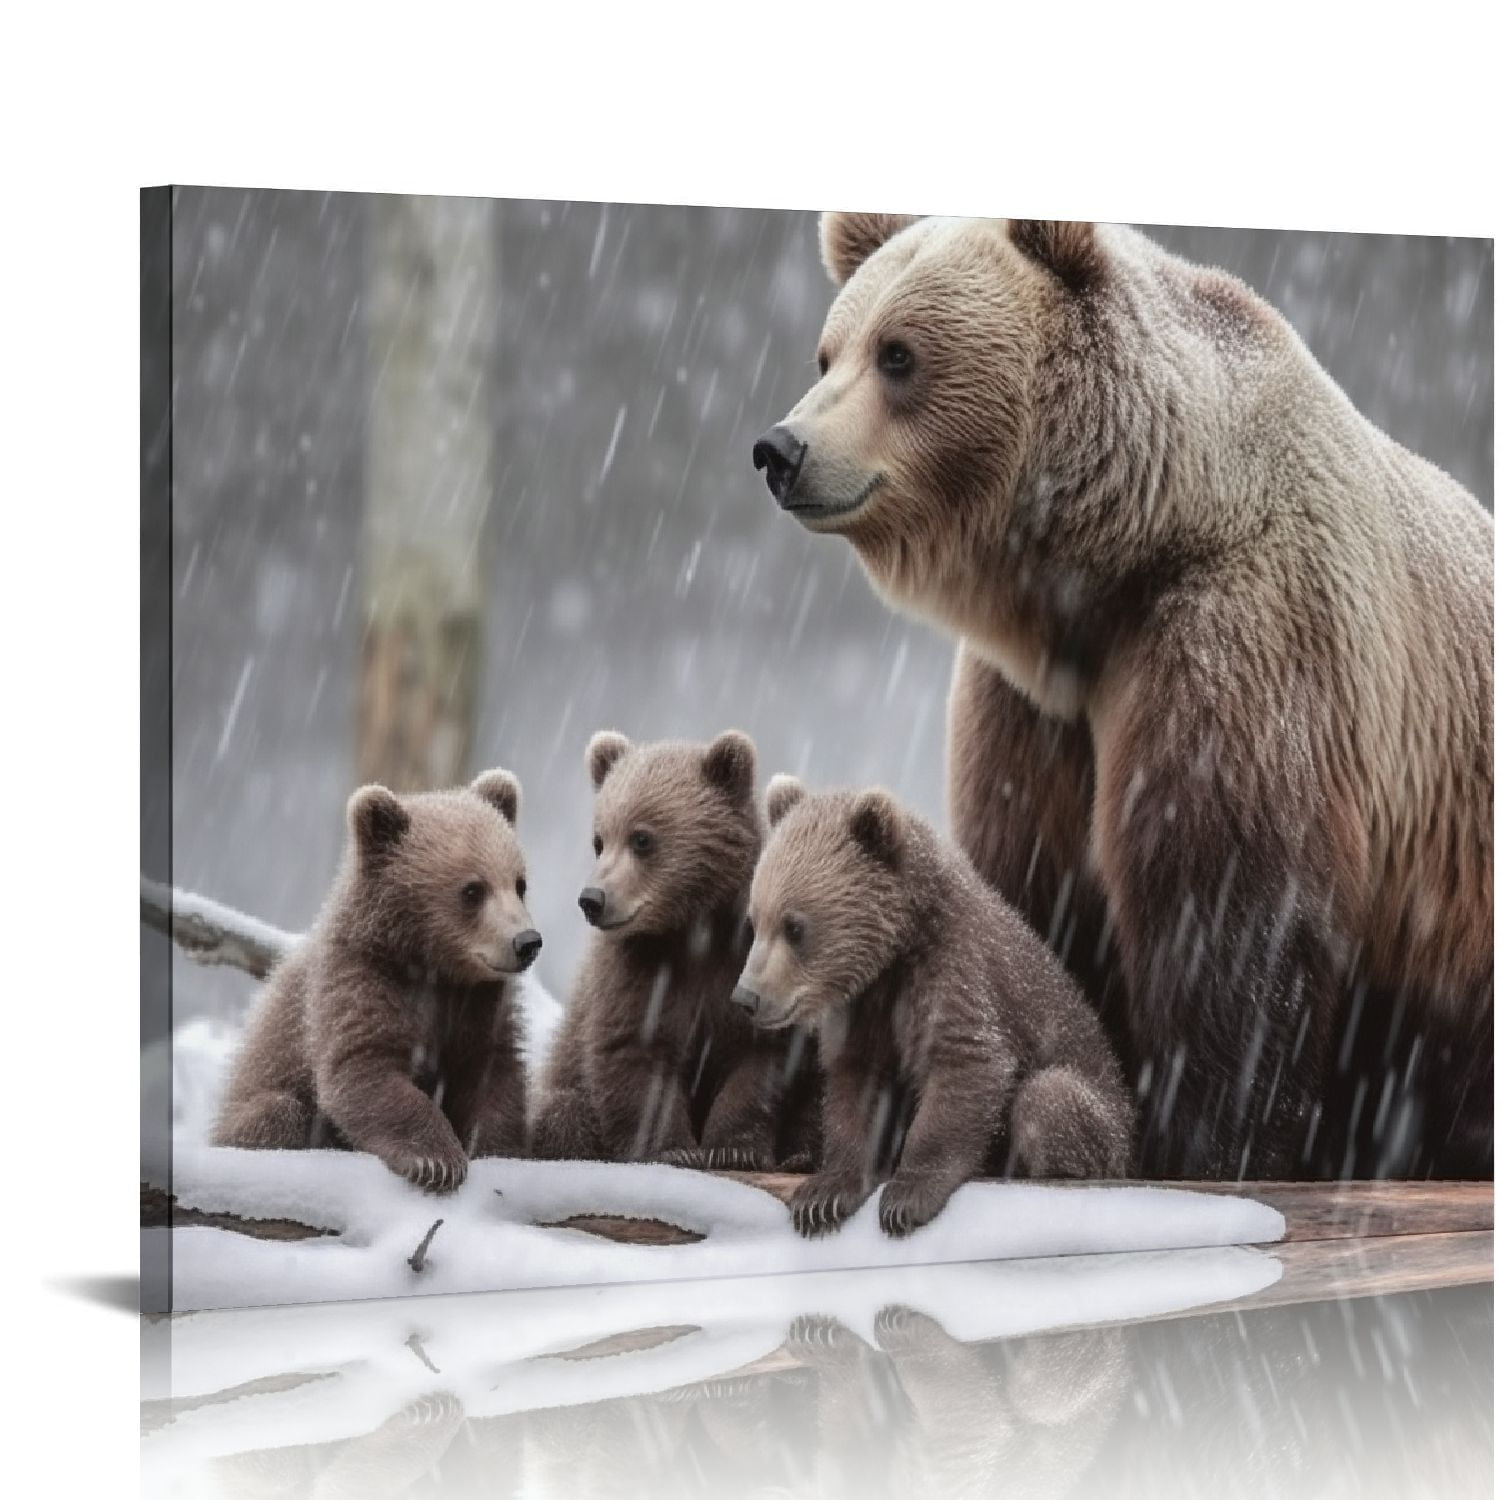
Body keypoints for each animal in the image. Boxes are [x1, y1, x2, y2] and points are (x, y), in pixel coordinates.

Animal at [212, 769, 541, 1193]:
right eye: (472, 890)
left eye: (519, 883)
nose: (526, 942)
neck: (430, 964)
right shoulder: (358, 980)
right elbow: (363, 1066)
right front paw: (436, 1160)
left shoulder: (481, 1004)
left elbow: (491, 1076)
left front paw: (495, 1149)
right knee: (277, 1114)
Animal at [528, 730, 819, 1169]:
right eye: (599, 840)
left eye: (641, 838)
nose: (593, 898)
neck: (694, 931)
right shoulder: (638, 970)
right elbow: (637, 1054)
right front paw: (674, 1149)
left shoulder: (753, 967)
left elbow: (759, 1060)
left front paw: (735, 1149)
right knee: (562, 1114)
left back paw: (800, 1156)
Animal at [733, 775, 1135, 1238]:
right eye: (755, 920)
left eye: (795, 927)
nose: (747, 997)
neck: (897, 951)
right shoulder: (865, 1009)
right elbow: (854, 1086)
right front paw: (823, 1196)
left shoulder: (954, 973)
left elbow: (967, 1065)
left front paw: (906, 1197)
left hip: (1108, 1118)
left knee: (1051, 1096)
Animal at [752, 213, 1493, 1181]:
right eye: (827, 351)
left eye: (899, 353)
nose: (781, 449)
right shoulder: (1033, 710)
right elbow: (1035, 889)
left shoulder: (1244, 639)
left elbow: (1224, 908)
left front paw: (1205, 1145)